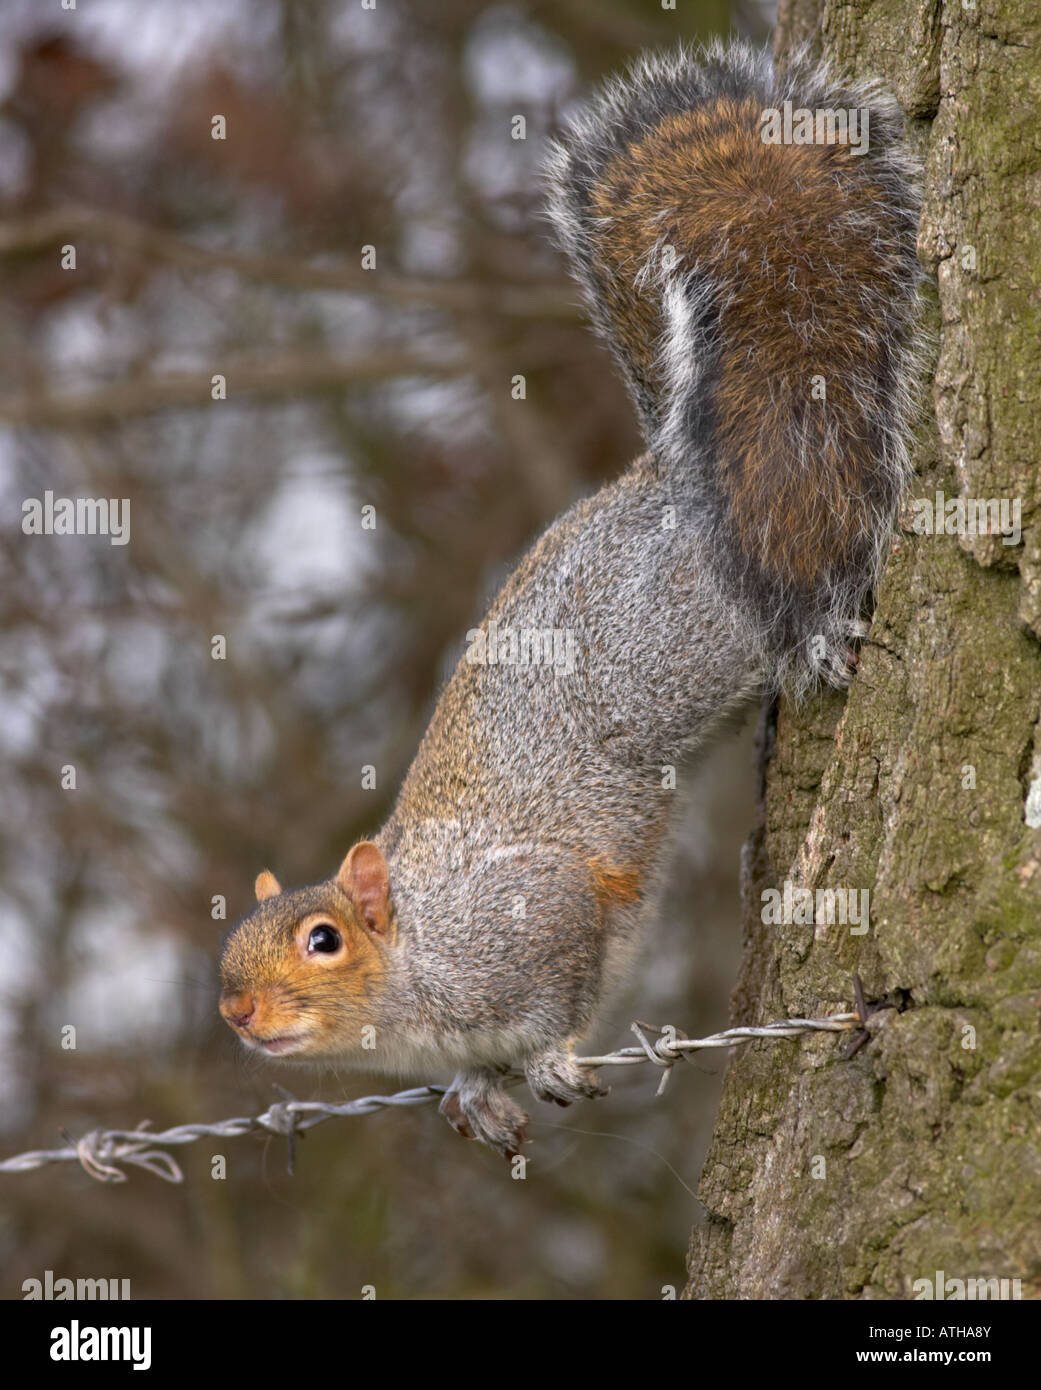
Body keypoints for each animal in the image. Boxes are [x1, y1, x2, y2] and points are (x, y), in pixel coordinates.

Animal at [219, 40, 924, 1158]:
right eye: (228, 948)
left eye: (321, 939)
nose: (236, 1011)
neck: (418, 954)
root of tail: (674, 474)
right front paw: (476, 1090)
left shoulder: (531, 918)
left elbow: (571, 981)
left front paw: (548, 1059)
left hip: (699, 627)